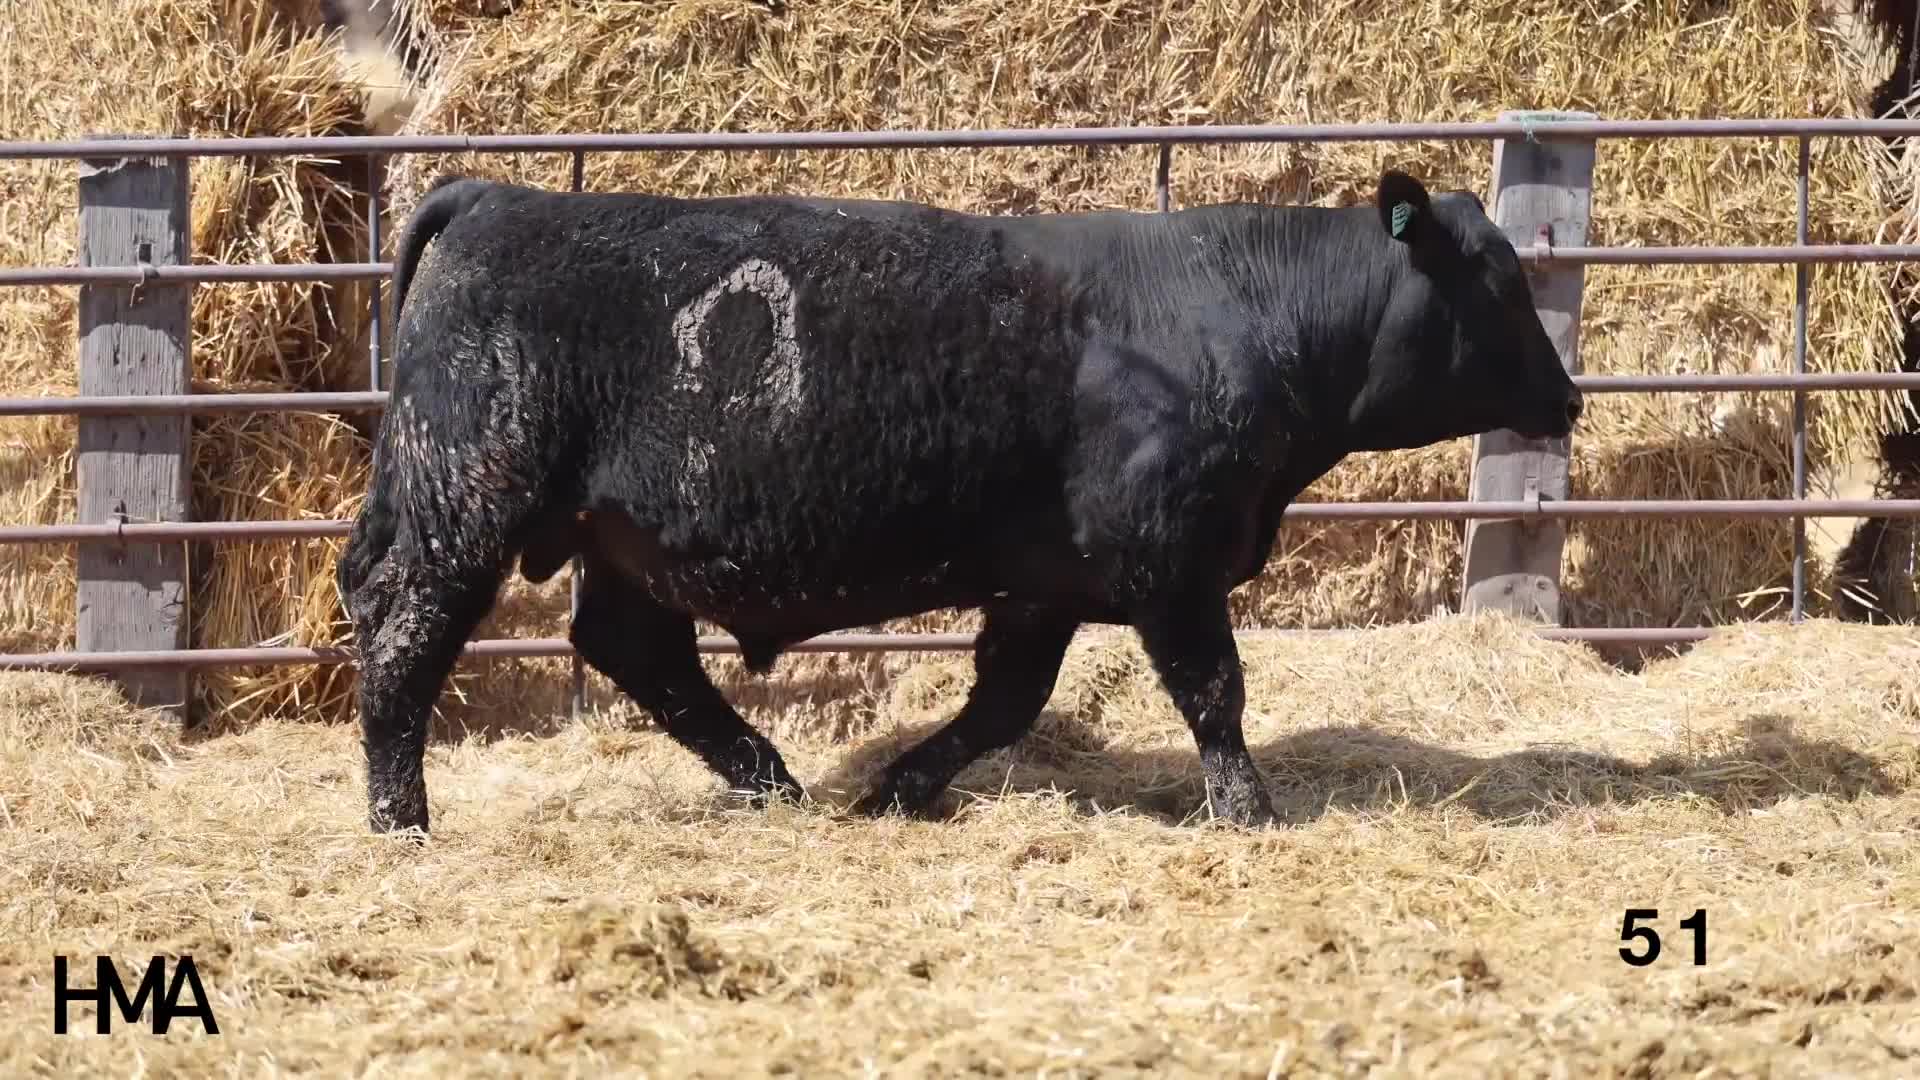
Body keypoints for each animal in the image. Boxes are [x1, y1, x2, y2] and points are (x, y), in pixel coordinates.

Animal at [336, 167, 1584, 837]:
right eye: (1499, 282)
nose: (1569, 393)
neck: (1239, 311)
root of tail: (500, 195)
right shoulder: (1168, 560)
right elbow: (1214, 693)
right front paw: (1250, 811)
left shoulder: (1045, 585)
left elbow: (1003, 706)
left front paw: (900, 786)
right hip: (464, 505)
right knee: (406, 644)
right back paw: (401, 818)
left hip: (617, 539)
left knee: (635, 648)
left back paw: (772, 780)